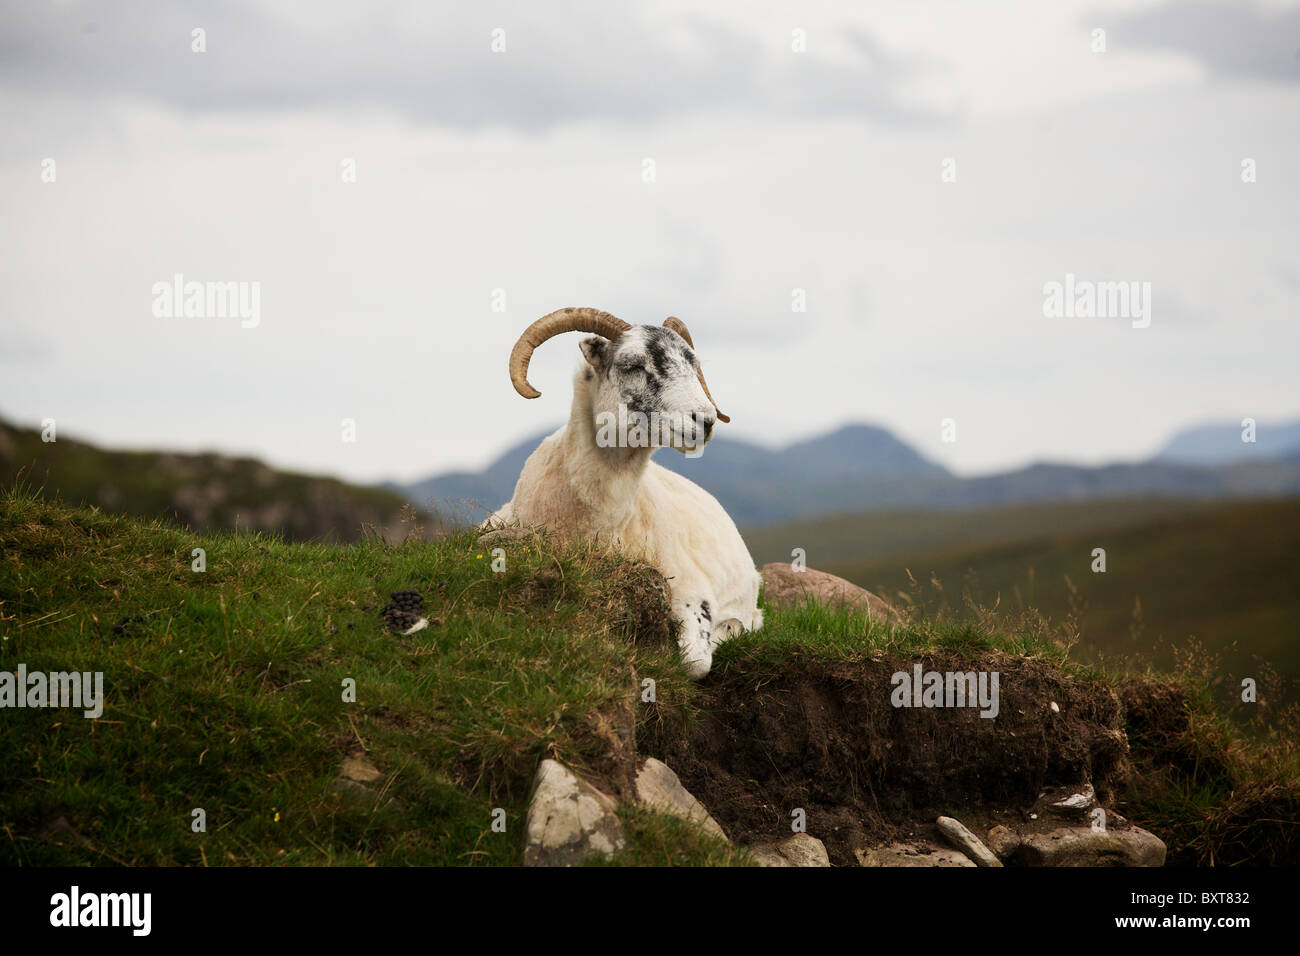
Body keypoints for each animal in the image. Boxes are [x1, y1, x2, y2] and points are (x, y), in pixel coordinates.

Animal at [487, 307, 763, 678]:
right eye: (633, 365)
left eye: (692, 363)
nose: (705, 421)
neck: (604, 522)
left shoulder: (693, 588)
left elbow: (695, 664)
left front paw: (725, 630)